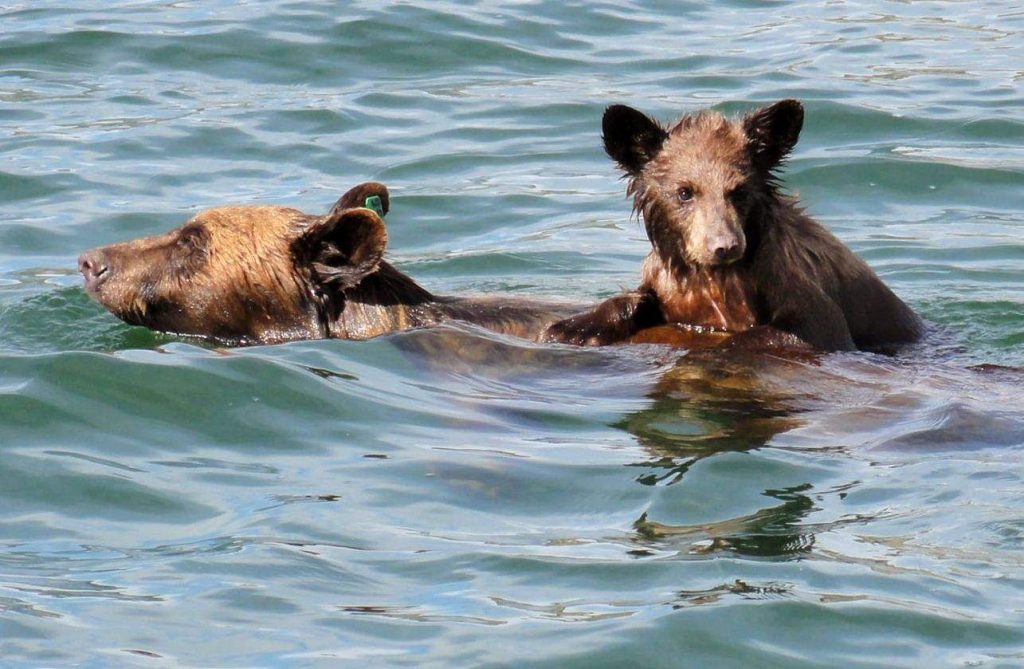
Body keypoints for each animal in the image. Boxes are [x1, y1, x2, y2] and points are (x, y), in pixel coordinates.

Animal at [543, 99, 924, 353]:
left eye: (739, 190)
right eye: (684, 192)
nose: (724, 246)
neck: (713, 280)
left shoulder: (794, 283)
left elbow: (813, 326)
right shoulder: (669, 286)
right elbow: (635, 297)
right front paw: (571, 328)